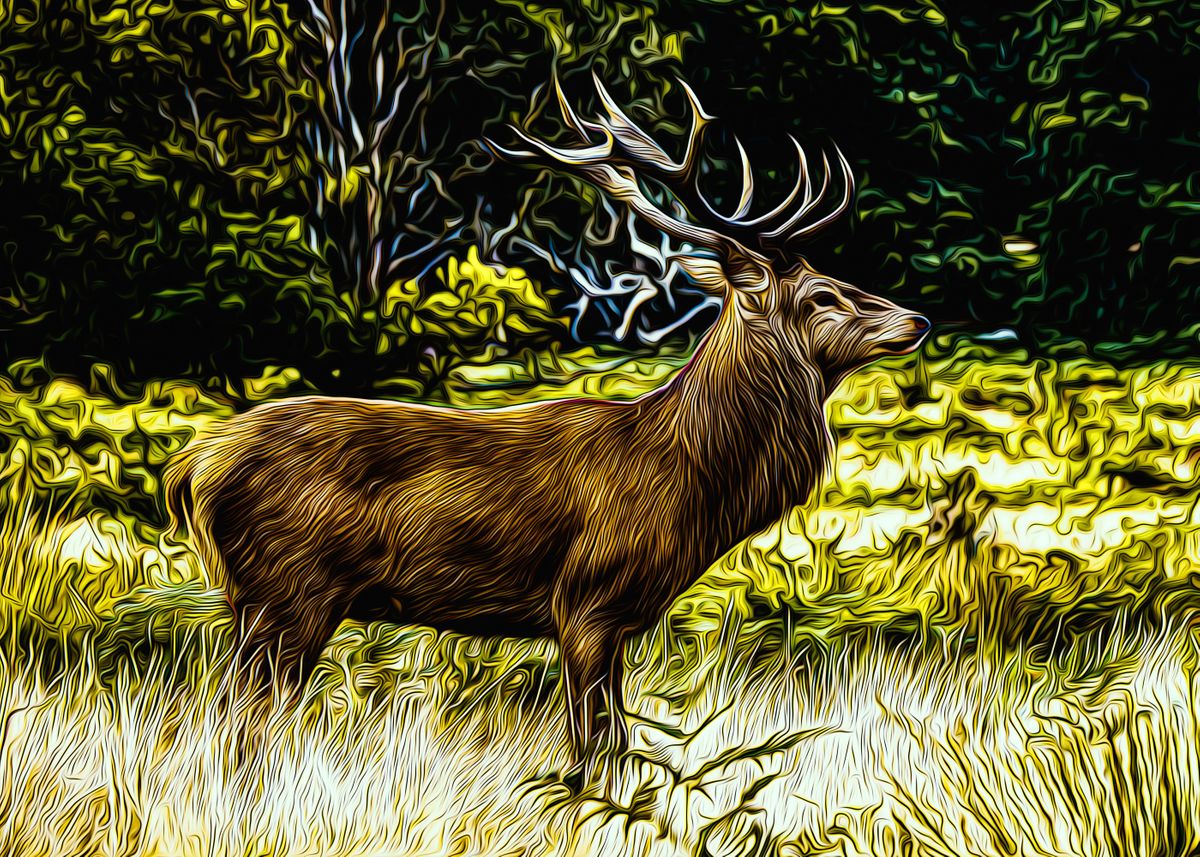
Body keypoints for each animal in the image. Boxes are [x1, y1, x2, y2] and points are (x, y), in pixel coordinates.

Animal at [164, 73, 929, 776]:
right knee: (237, 718)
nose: (916, 319)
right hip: (287, 590)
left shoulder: (614, 617)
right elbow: (595, 748)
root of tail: (193, 464)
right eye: (823, 294)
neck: (687, 478)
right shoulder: (587, 600)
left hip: (261, 600)